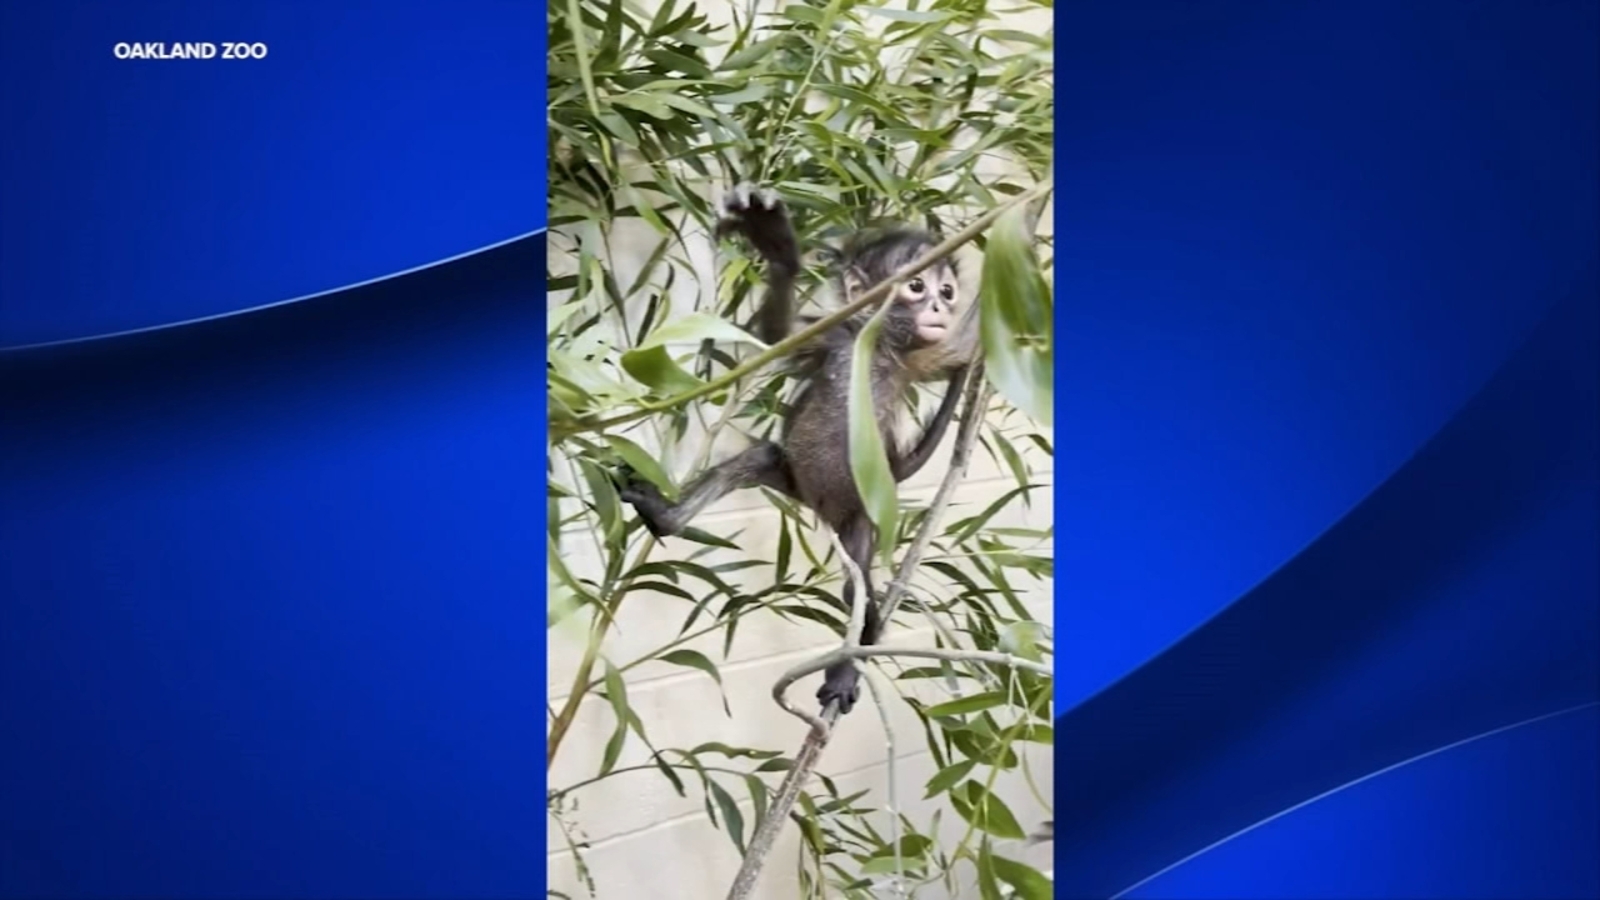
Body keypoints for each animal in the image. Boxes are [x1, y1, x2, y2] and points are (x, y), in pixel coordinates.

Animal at [617, 184, 979, 715]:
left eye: (947, 292)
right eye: (917, 288)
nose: (940, 309)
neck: (875, 346)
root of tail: (820, 507)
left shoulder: (924, 356)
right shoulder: (836, 335)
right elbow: (774, 338)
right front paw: (780, 249)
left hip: (860, 518)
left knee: (854, 587)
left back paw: (846, 669)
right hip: (791, 477)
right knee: (760, 457)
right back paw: (666, 518)